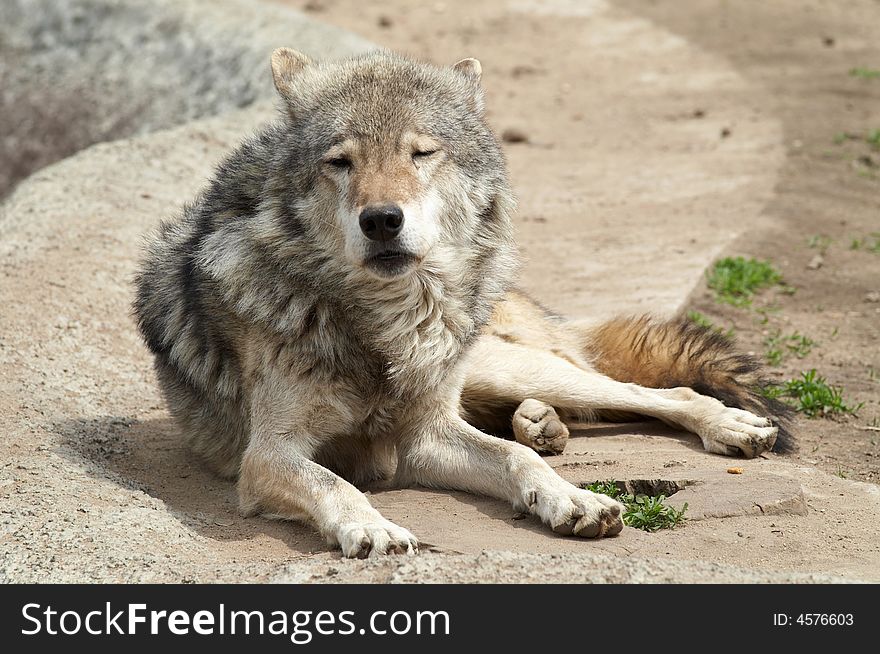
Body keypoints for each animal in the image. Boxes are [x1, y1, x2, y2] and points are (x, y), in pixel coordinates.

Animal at [133, 48, 791, 558]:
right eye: (340, 161)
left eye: (421, 153)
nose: (381, 219)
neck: (387, 324)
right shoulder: (269, 455)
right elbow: (333, 483)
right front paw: (372, 528)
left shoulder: (426, 435)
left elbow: (517, 462)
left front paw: (571, 498)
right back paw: (543, 424)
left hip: (509, 367)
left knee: (655, 393)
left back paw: (724, 426)